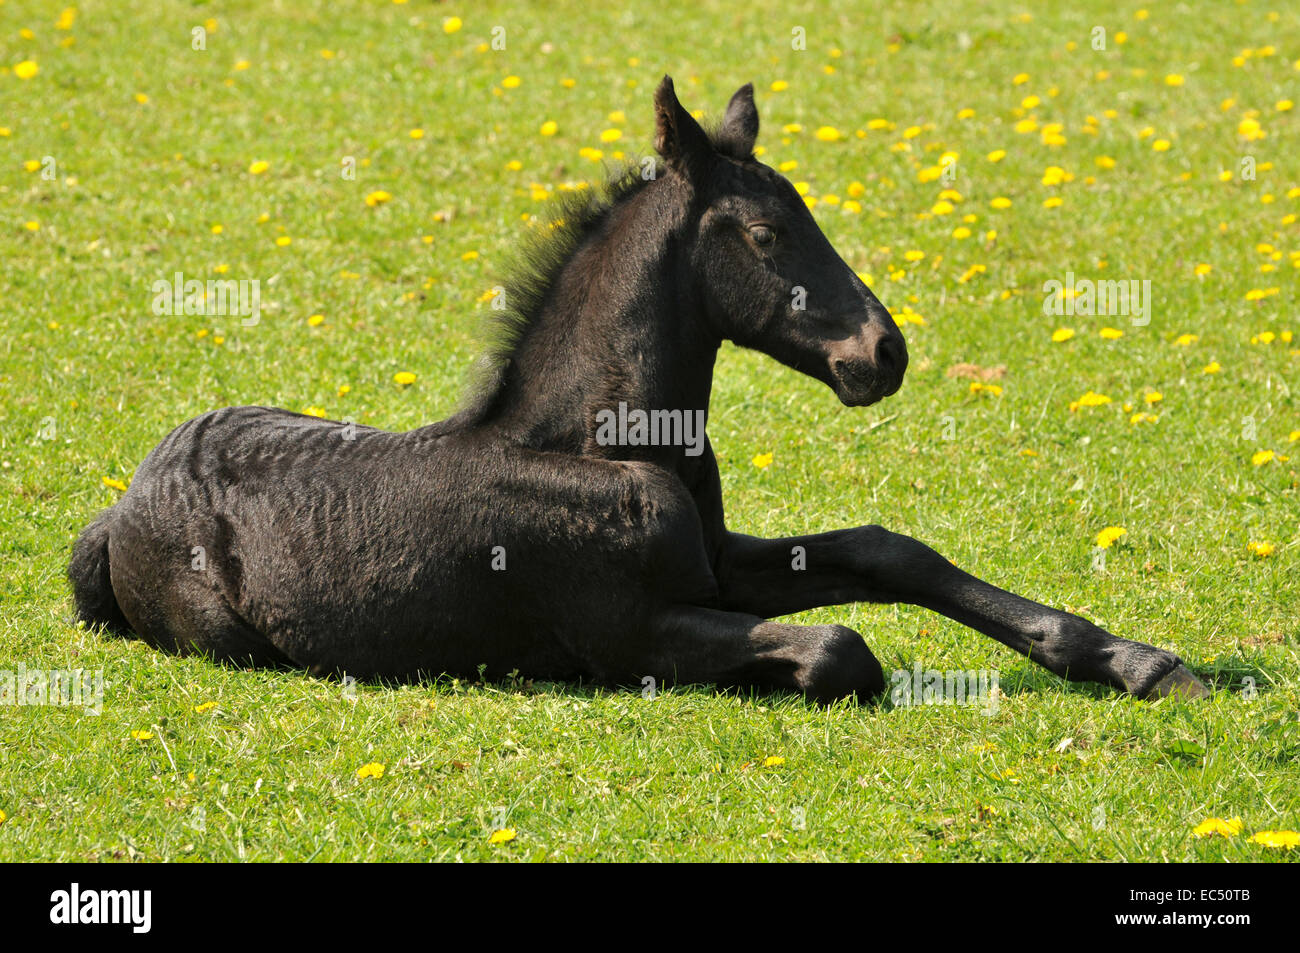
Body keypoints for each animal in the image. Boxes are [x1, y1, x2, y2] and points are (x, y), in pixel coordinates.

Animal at [69, 76, 1209, 703]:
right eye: (767, 233)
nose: (882, 352)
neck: (607, 442)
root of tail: (121, 504)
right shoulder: (629, 628)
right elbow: (842, 648)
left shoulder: (718, 564)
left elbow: (888, 551)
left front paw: (1140, 661)